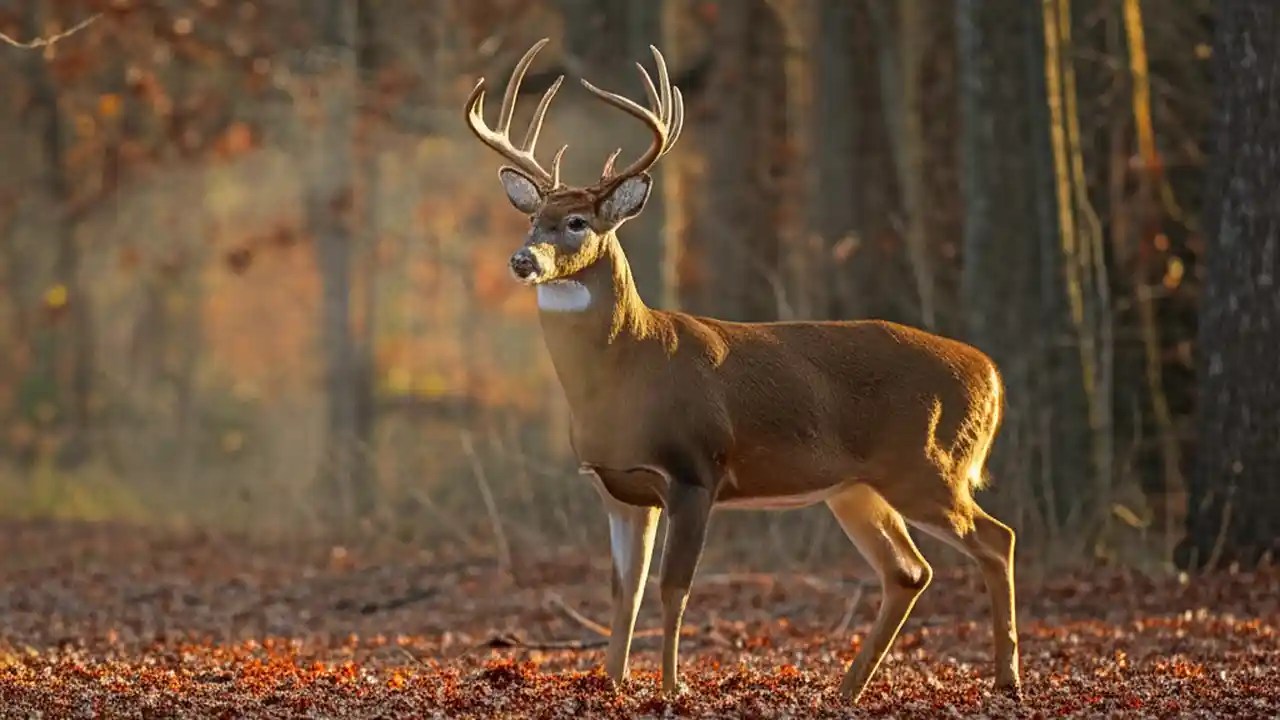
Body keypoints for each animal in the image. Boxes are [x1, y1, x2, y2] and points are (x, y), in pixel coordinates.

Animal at [464, 38, 1022, 704]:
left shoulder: (695, 470)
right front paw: (612, 684)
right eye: (533, 218)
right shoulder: (617, 486)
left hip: (927, 466)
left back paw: (1008, 680)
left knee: (997, 539)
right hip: (856, 487)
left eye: (577, 222)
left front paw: (671, 688)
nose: (523, 259)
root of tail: (991, 373)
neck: (624, 376)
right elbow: (623, 593)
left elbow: (673, 589)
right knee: (910, 571)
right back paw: (846, 690)